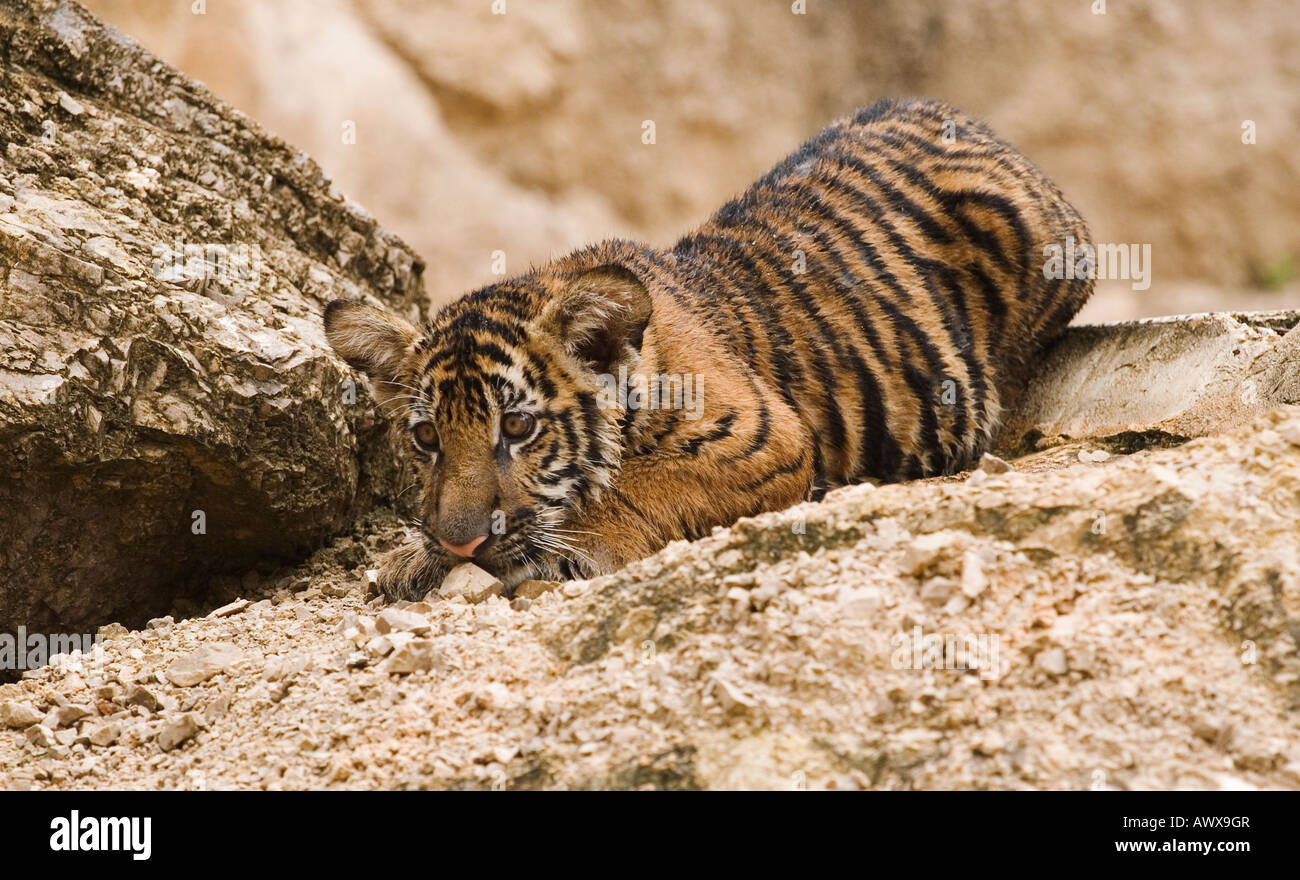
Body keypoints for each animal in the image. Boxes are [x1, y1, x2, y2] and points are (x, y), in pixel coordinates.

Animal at [324, 97, 1094, 600]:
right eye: (427, 438)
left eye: (516, 428)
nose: (459, 544)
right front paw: (411, 559)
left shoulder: (764, 440)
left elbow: (640, 485)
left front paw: (570, 545)